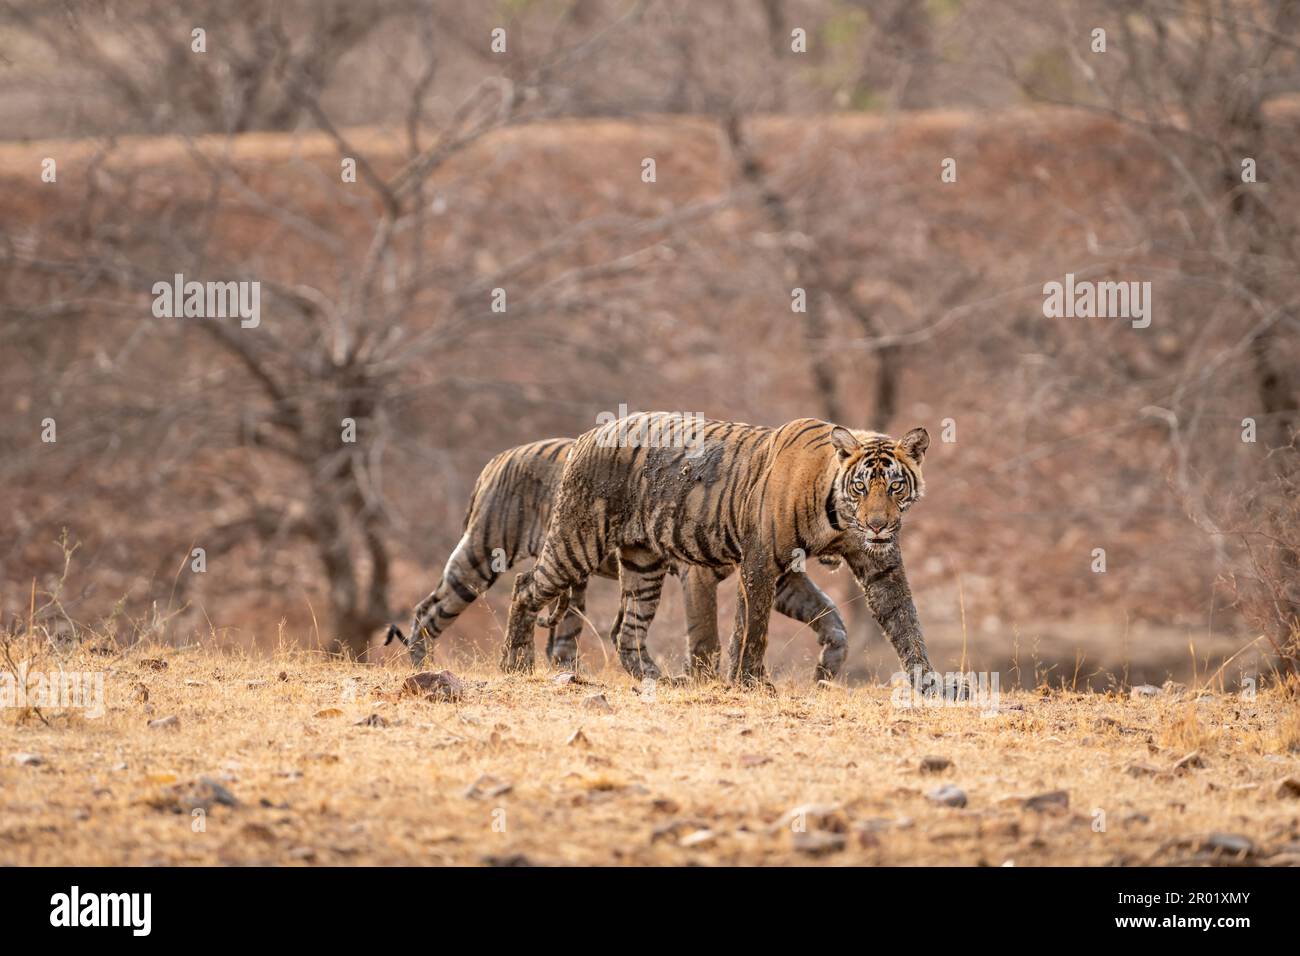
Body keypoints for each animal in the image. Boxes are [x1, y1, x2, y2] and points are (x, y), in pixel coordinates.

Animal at [384, 436, 847, 680]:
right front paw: (702, 680)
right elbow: (705, 636)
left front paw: (828, 670)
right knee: (430, 609)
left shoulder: (776, 572)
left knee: (563, 639)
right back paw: (422, 668)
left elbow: (828, 615)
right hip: (484, 554)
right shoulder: (698, 574)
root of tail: (498, 458)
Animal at [501, 413, 933, 687]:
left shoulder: (877, 567)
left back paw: (657, 680)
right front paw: (751, 682)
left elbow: (905, 622)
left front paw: (929, 686)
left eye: (895, 486)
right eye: (860, 486)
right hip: (578, 541)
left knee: (628, 629)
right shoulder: (762, 560)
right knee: (524, 586)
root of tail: (587, 435)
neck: (840, 519)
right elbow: (754, 627)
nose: (877, 524)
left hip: (643, 565)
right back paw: (515, 663)